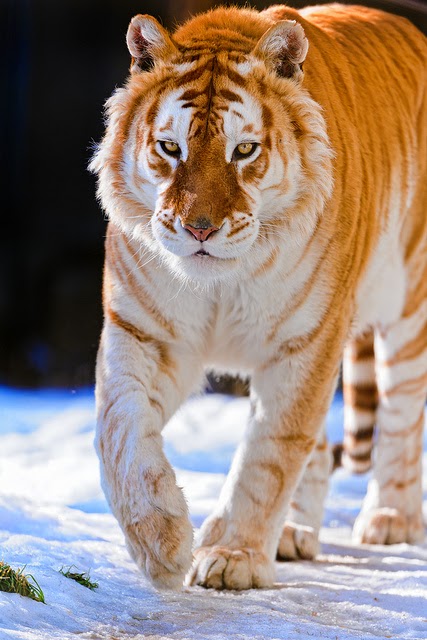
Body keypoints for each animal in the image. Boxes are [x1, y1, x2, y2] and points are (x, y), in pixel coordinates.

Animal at [90, 3, 427, 590]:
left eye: (244, 150)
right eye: (170, 148)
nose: (199, 229)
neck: (222, 285)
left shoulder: (305, 342)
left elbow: (269, 455)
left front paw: (233, 557)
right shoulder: (143, 333)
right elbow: (120, 431)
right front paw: (162, 544)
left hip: (408, 311)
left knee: (402, 416)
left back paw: (391, 519)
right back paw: (293, 534)